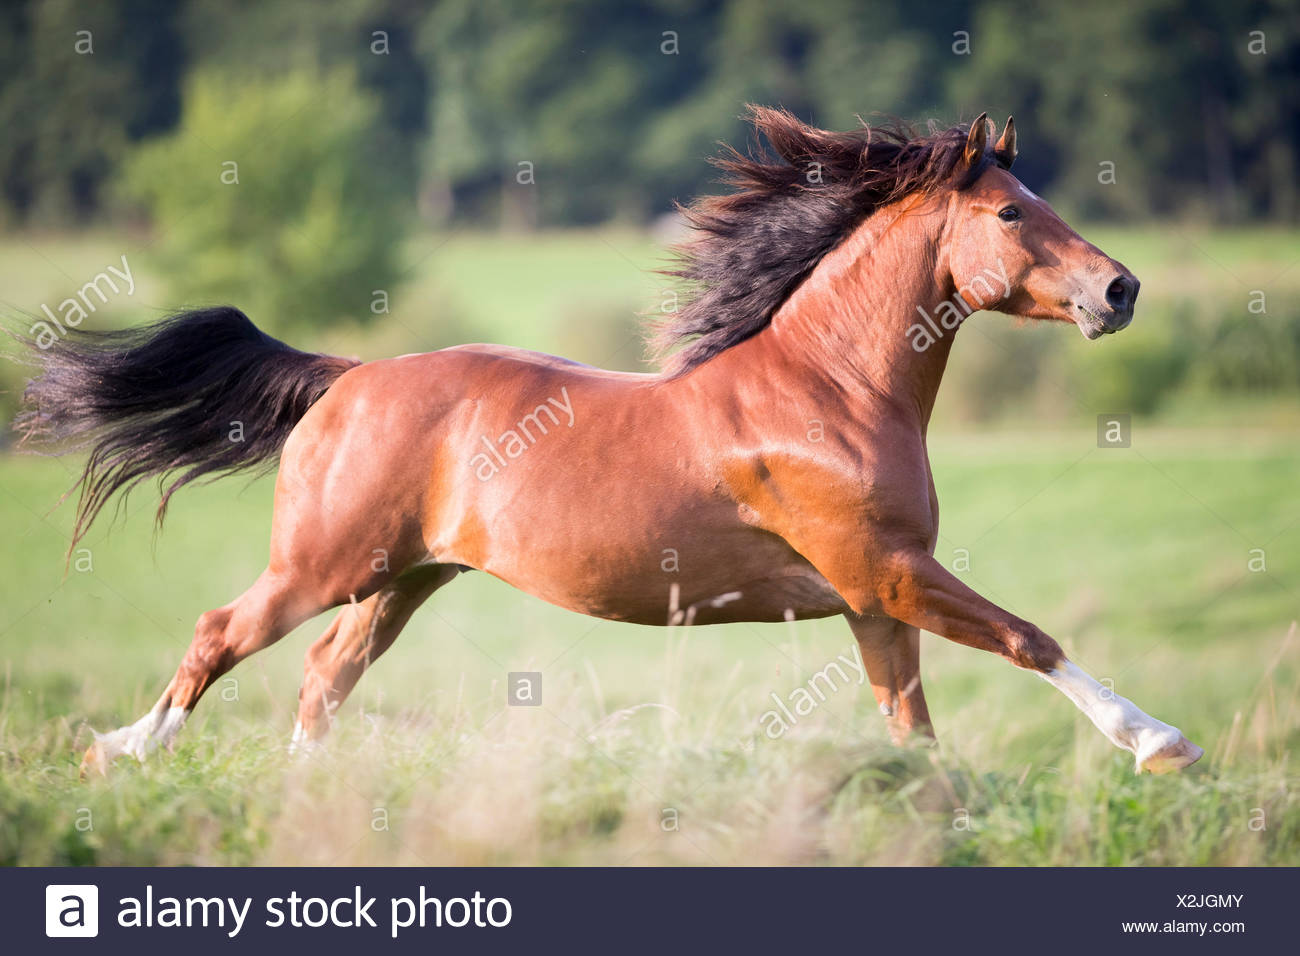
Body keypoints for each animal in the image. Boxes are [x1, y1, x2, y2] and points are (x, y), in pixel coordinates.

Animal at [15, 108, 1203, 777]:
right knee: (224, 632)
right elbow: (1028, 637)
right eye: (1010, 214)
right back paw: (122, 752)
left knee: (323, 675)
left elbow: (912, 727)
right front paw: (1162, 745)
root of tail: (346, 378)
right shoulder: (889, 572)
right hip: (325, 562)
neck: (829, 390)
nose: (1120, 289)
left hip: (404, 578)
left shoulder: (874, 600)